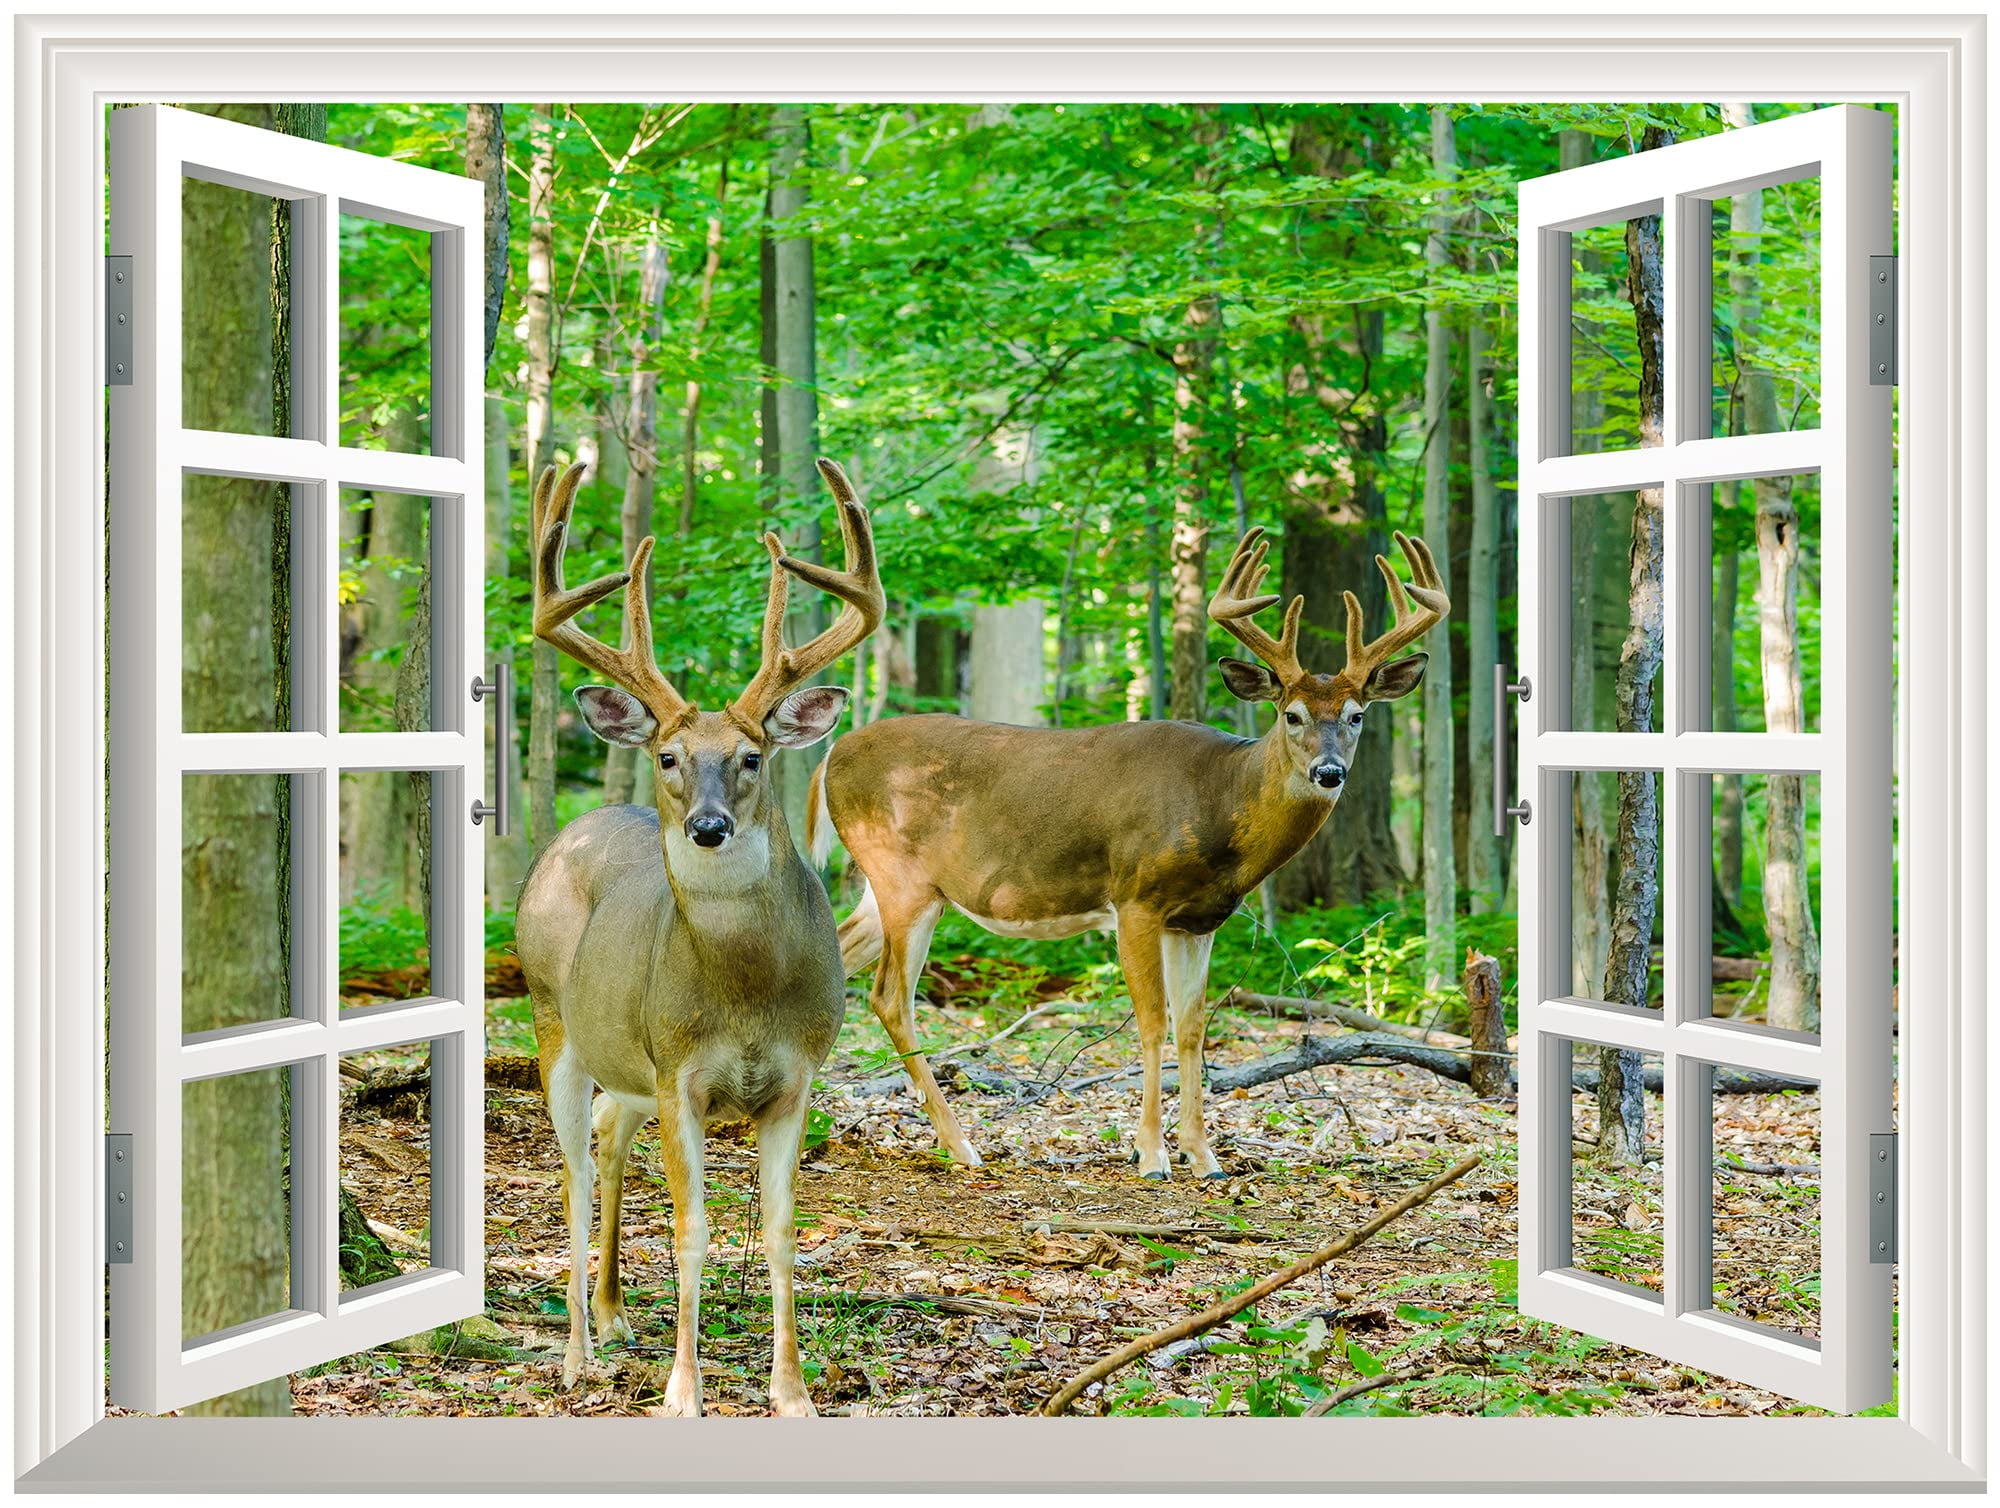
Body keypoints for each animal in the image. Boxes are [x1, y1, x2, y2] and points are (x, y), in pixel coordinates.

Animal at [514, 457, 883, 1417]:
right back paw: (577, 1353)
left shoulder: (795, 1073)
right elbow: (692, 1230)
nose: (710, 826)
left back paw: (614, 1317)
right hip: (551, 1018)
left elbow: (783, 1230)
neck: (747, 995)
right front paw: (684, 1394)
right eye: (672, 757)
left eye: (752, 756)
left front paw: (792, 1393)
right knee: (569, 1173)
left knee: (609, 1134)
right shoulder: (680, 1070)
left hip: (629, 1055)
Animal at [806, 526, 1446, 1180]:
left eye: (1357, 715)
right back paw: (959, 1144)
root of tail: (831, 756)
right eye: (1290, 715)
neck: (1218, 803)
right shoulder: (1137, 898)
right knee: (890, 996)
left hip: (882, 885)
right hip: (903, 876)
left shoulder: (1197, 921)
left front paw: (1203, 1155)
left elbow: (1193, 1027)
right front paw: (1152, 1154)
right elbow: (1152, 1022)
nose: (1329, 771)